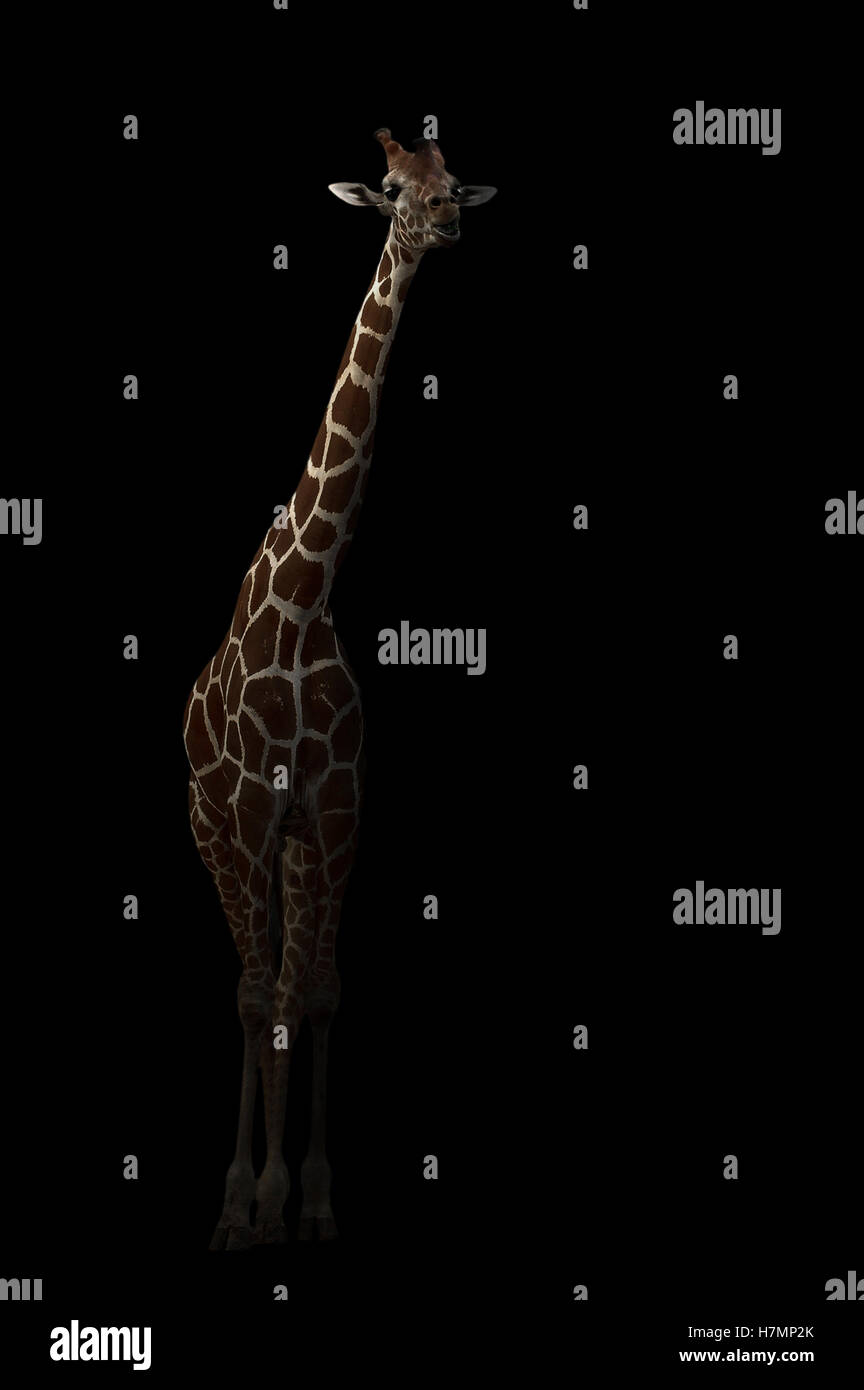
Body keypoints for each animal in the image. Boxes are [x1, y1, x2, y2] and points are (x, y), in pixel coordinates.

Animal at [183, 127, 496, 1249]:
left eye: (454, 181)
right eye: (395, 190)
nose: (444, 219)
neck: (308, 592)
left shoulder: (334, 806)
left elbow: (315, 991)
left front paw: (312, 1199)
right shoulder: (249, 811)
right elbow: (260, 996)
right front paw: (255, 1203)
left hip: (282, 844)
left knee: (281, 980)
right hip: (216, 833)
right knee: (244, 988)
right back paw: (235, 1200)